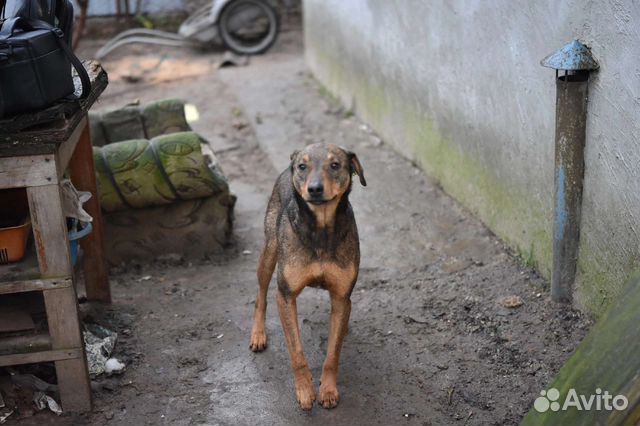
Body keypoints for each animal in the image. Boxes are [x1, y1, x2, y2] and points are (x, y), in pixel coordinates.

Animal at [251, 142, 368, 410]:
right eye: (303, 166)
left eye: (335, 165)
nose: (314, 189)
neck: (321, 229)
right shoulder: (285, 295)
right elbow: (296, 351)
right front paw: (305, 390)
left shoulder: (341, 297)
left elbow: (333, 354)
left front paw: (328, 390)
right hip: (270, 252)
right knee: (261, 294)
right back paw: (258, 334)